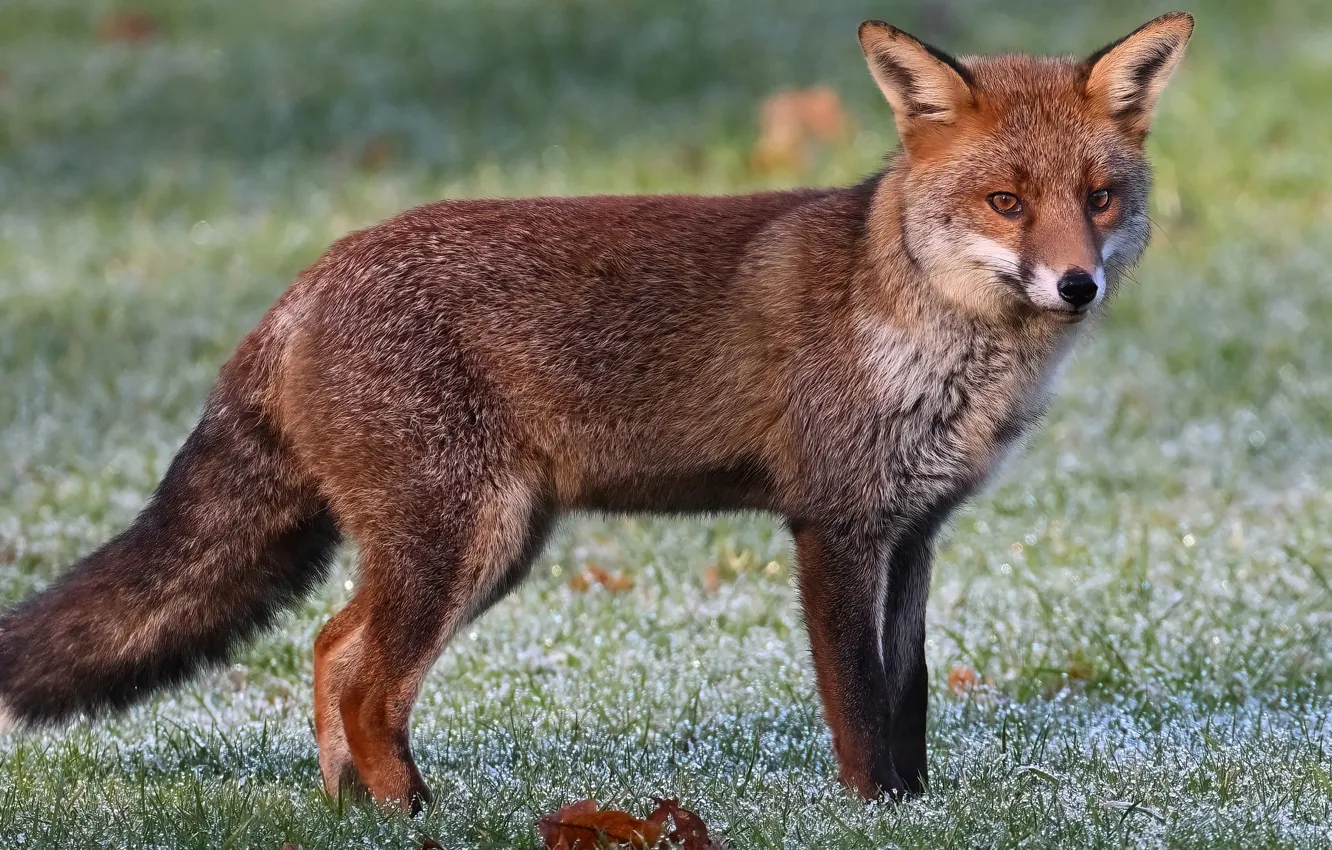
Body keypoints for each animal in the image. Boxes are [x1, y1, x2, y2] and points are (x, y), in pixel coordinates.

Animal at [0, 13, 1192, 810]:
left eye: (1099, 198)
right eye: (1005, 202)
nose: (1077, 285)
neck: (940, 343)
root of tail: (308, 279)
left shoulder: (916, 533)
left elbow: (908, 696)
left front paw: (918, 811)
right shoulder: (835, 525)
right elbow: (857, 704)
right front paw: (874, 817)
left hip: (488, 543)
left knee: (332, 649)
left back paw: (351, 809)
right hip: (463, 538)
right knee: (370, 683)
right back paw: (415, 813)